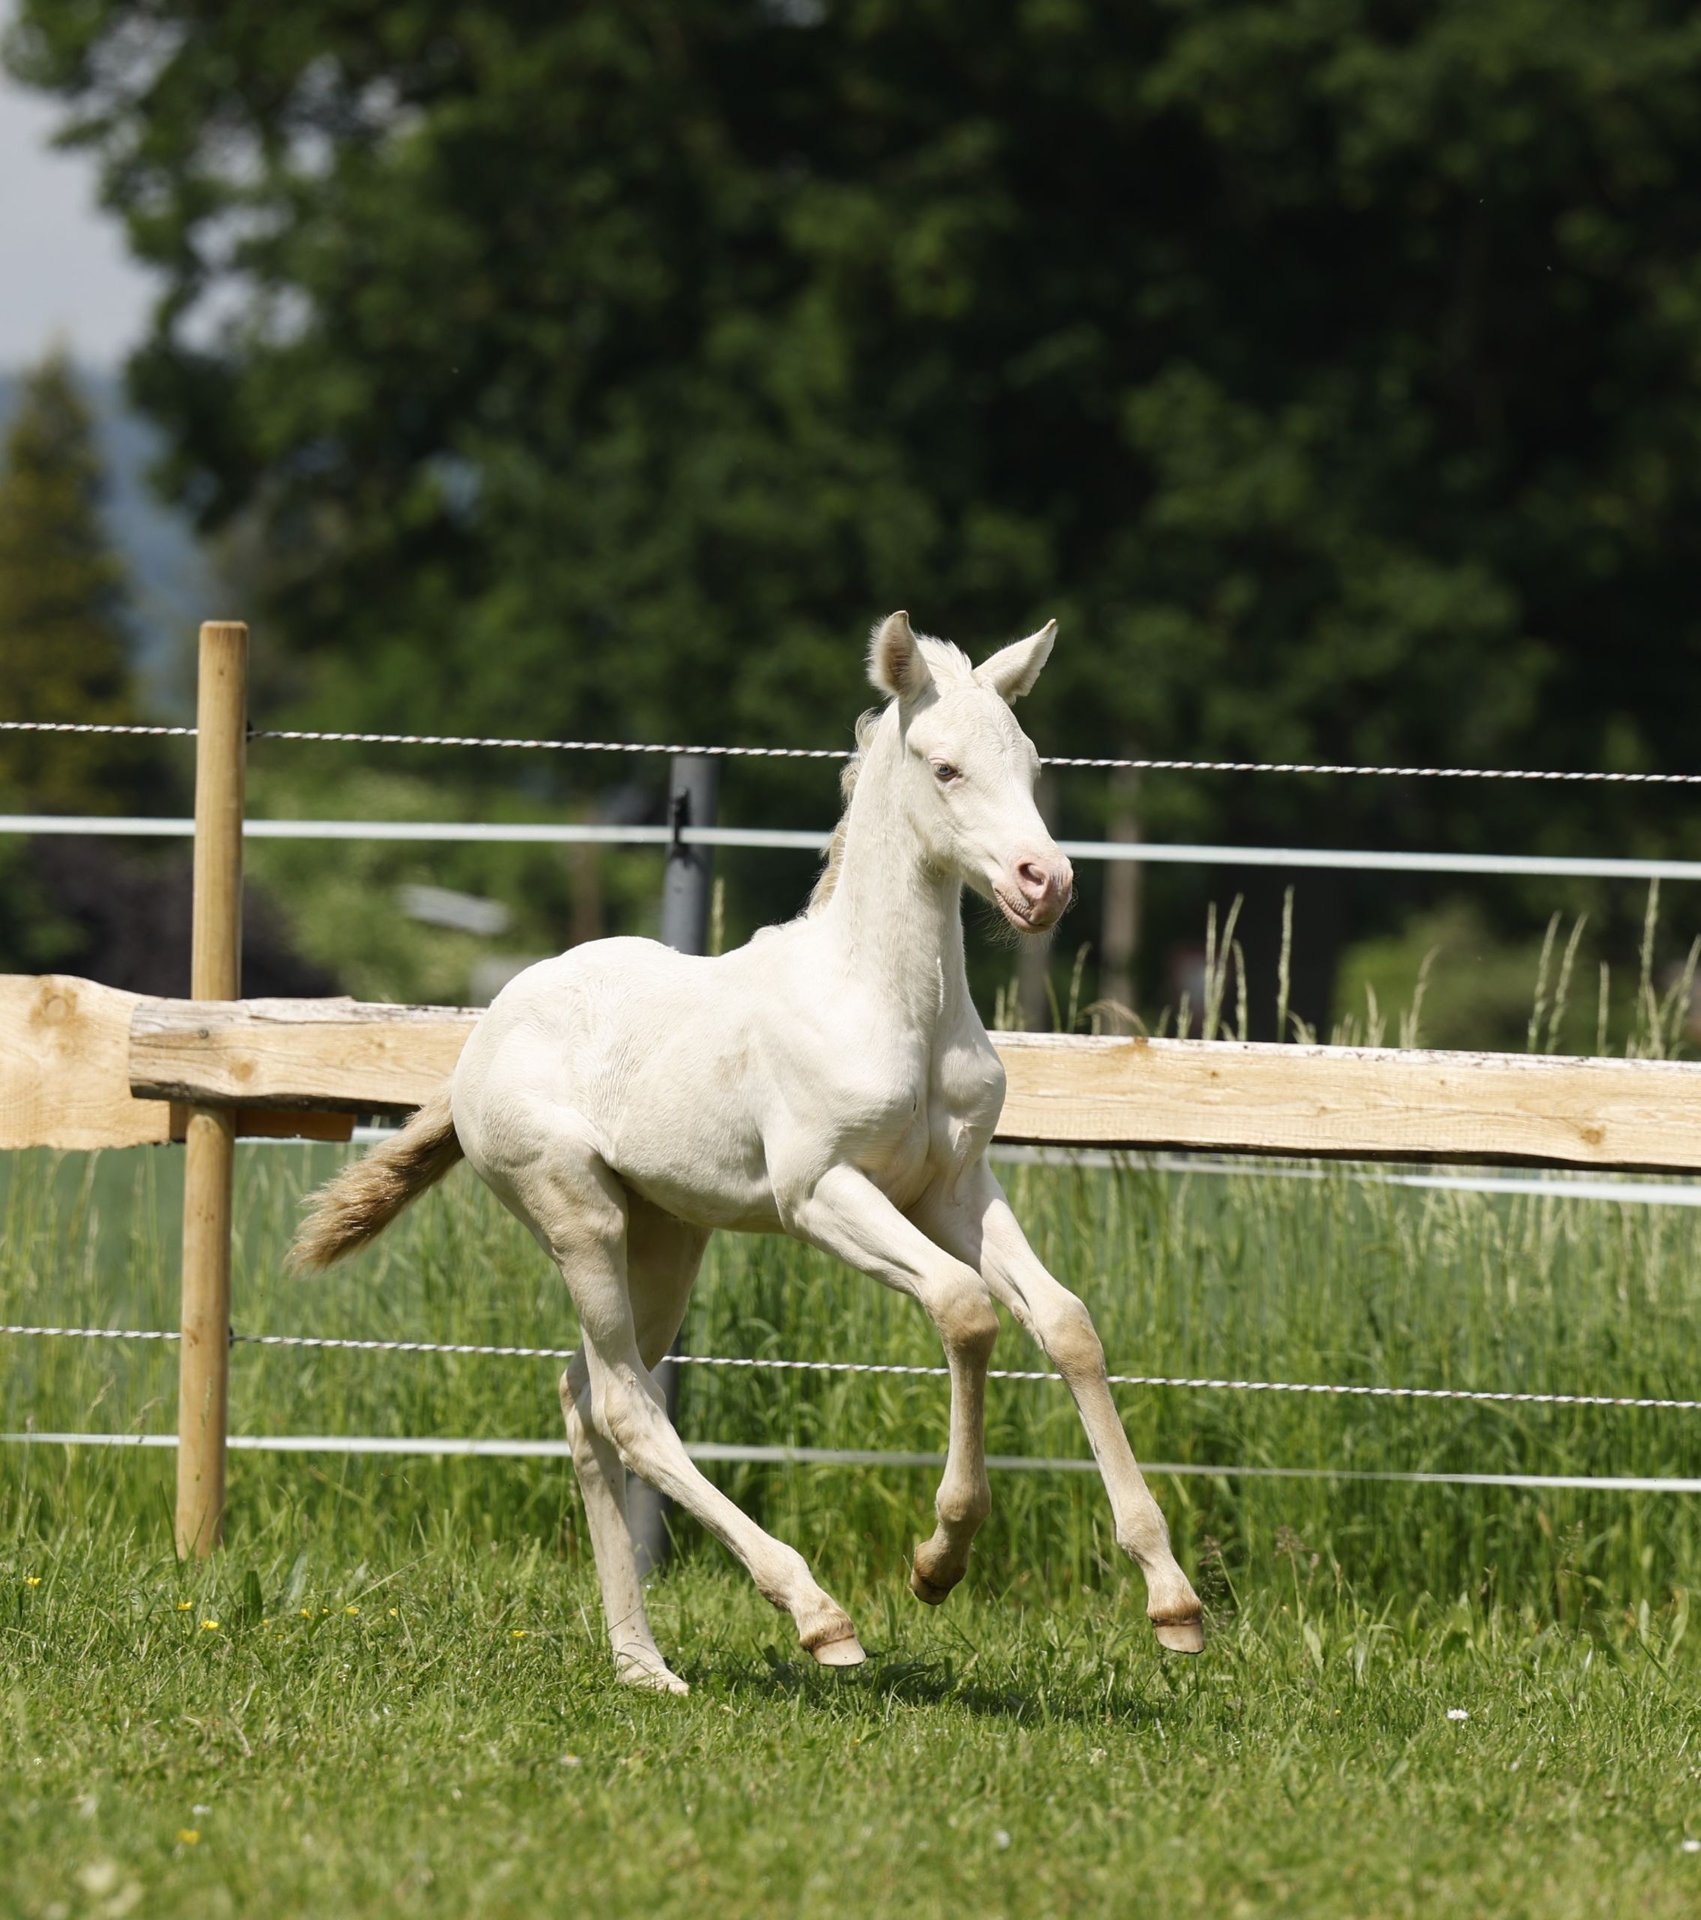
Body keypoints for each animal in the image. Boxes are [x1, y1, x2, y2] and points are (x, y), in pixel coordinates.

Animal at [291, 611, 1204, 1692]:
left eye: (1027, 762)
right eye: (943, 768)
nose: (1045, 882)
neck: (890, 1004)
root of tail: (480, 1037)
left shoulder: (954, 1187)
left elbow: (1065, 1323)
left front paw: (1172, 1599)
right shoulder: (821, 1195)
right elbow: (965, 1309)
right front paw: (938, 1560)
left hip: (666, 1238)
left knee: (585, 1401)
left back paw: (642, 1664)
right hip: (579, 1218)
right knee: (628, 1408)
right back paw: (816, 1615)